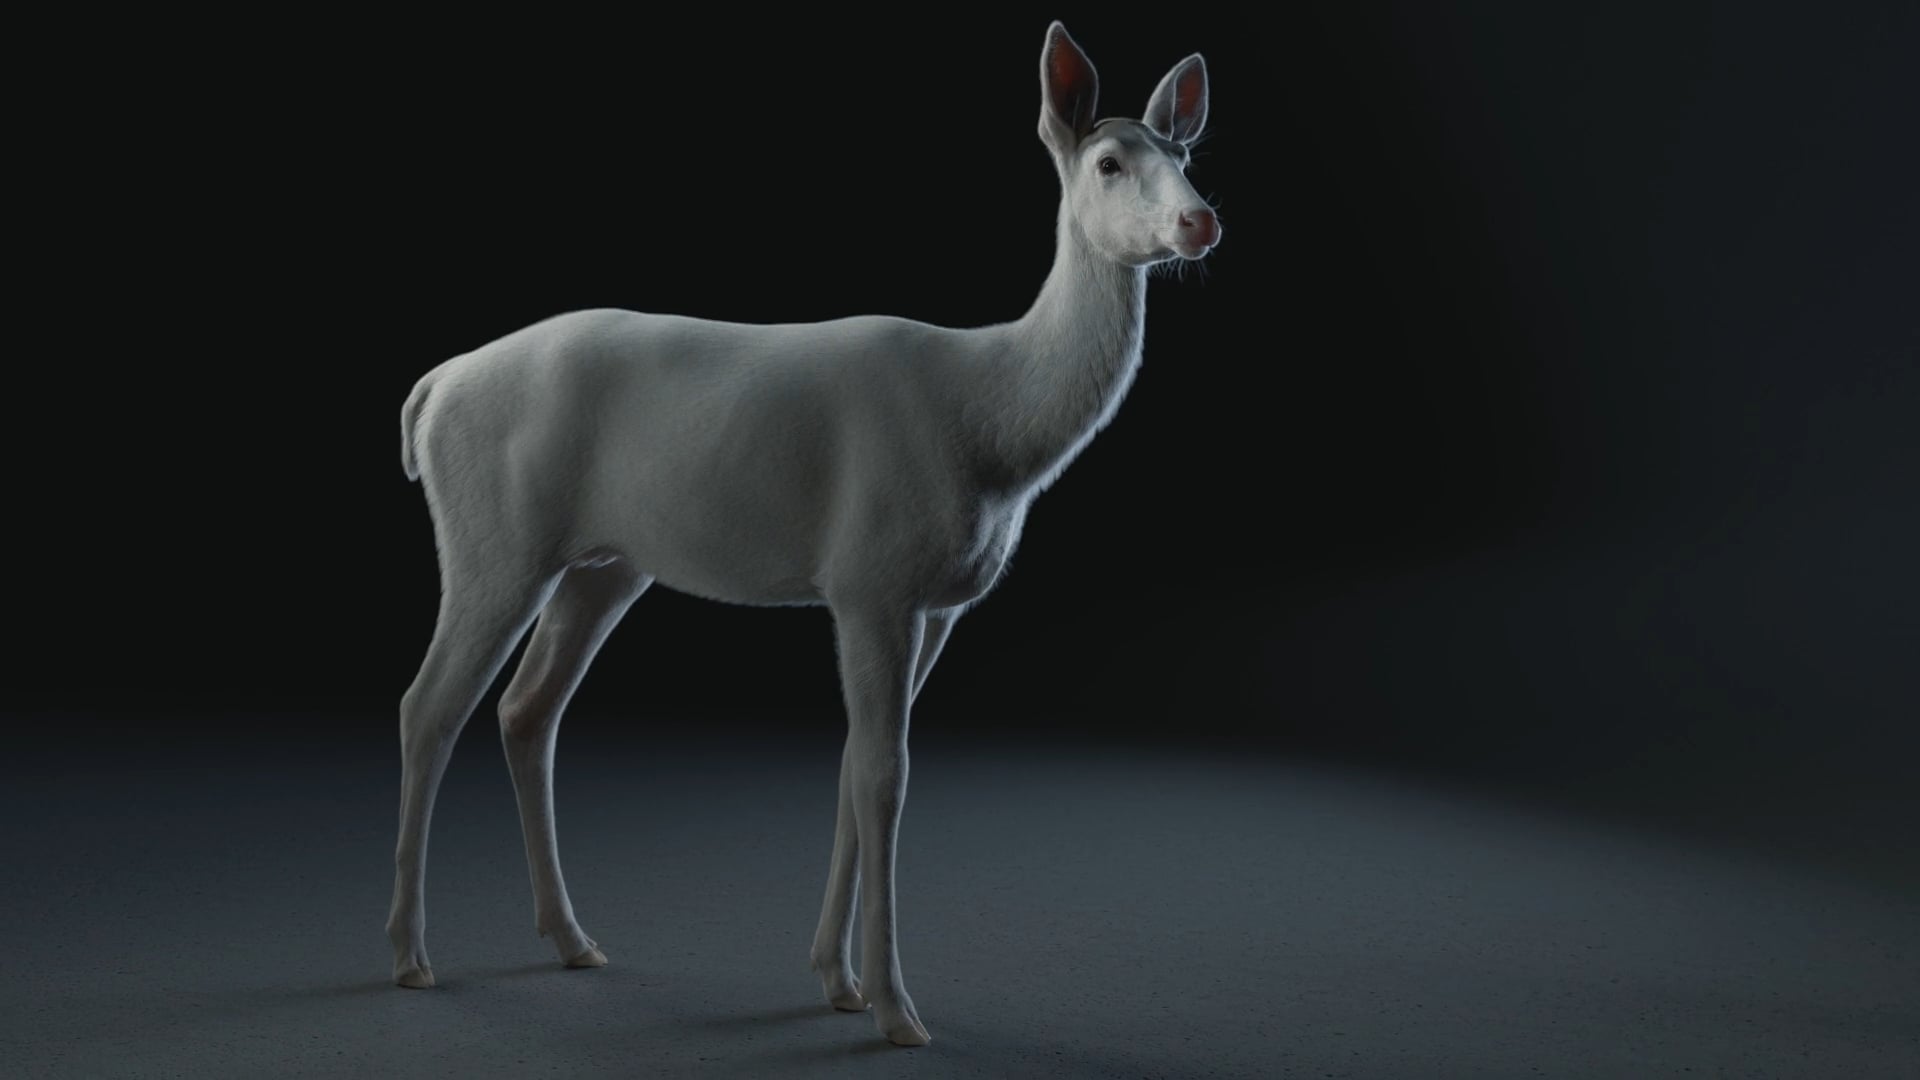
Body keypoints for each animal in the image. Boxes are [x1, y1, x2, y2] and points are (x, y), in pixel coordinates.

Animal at [386, 20, 1220, 1047]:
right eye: (1108, 162)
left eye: (1186, 155)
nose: (1200, 223)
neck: (988, 427)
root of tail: (431, 393)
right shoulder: (870, 578)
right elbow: (883, 778)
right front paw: (898, 1010)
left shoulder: (934, 604)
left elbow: (854, 767)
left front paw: (837, 979)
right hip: (492, 538)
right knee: (429, 705)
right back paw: (410, 954)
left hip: (603, 564)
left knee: (526, 708)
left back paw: (572, 938)